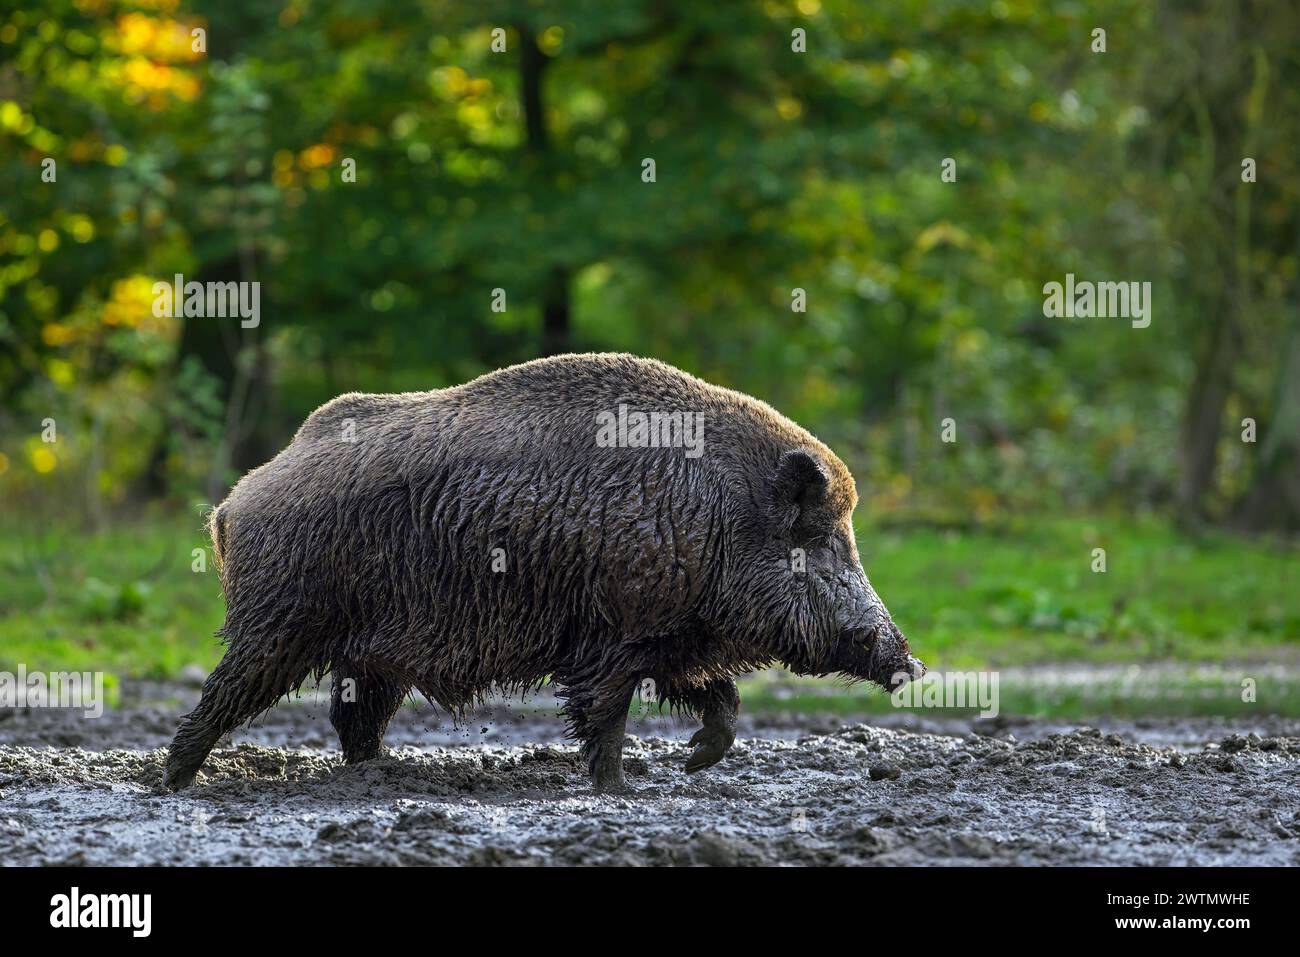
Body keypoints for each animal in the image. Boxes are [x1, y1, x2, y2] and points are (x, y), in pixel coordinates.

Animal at [164, 353, 924, 792]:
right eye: (823, 541)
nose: (910, 663)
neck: (719, 519)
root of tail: (234, 502)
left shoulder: (670, 640)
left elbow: (721, 698)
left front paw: (695, 763)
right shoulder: (610, 638)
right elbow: (606, 718)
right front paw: (618, 791)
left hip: (371, 650)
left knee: (355, 717)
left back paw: (379, 774)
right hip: (280, 623)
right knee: (226, 693)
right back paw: (173, 781)